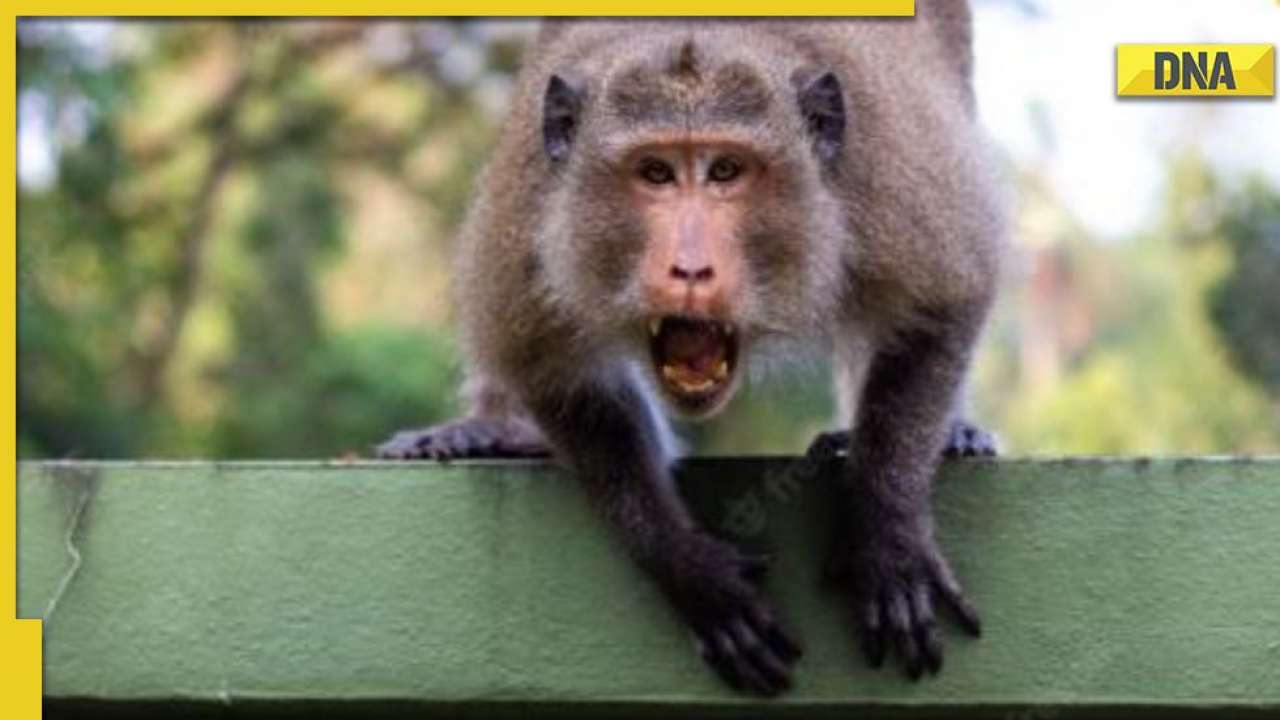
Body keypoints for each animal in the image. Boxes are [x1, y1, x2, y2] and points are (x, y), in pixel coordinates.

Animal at [379, 5, 1003, 696]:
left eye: (726, 170)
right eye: (654, 172)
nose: (690, 268)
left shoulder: (888, 177)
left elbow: (940, 302)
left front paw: (886, 529)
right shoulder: (532, 217)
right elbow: (547, 365)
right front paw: (686, 564)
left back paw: (947, 433)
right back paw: (493, 428)